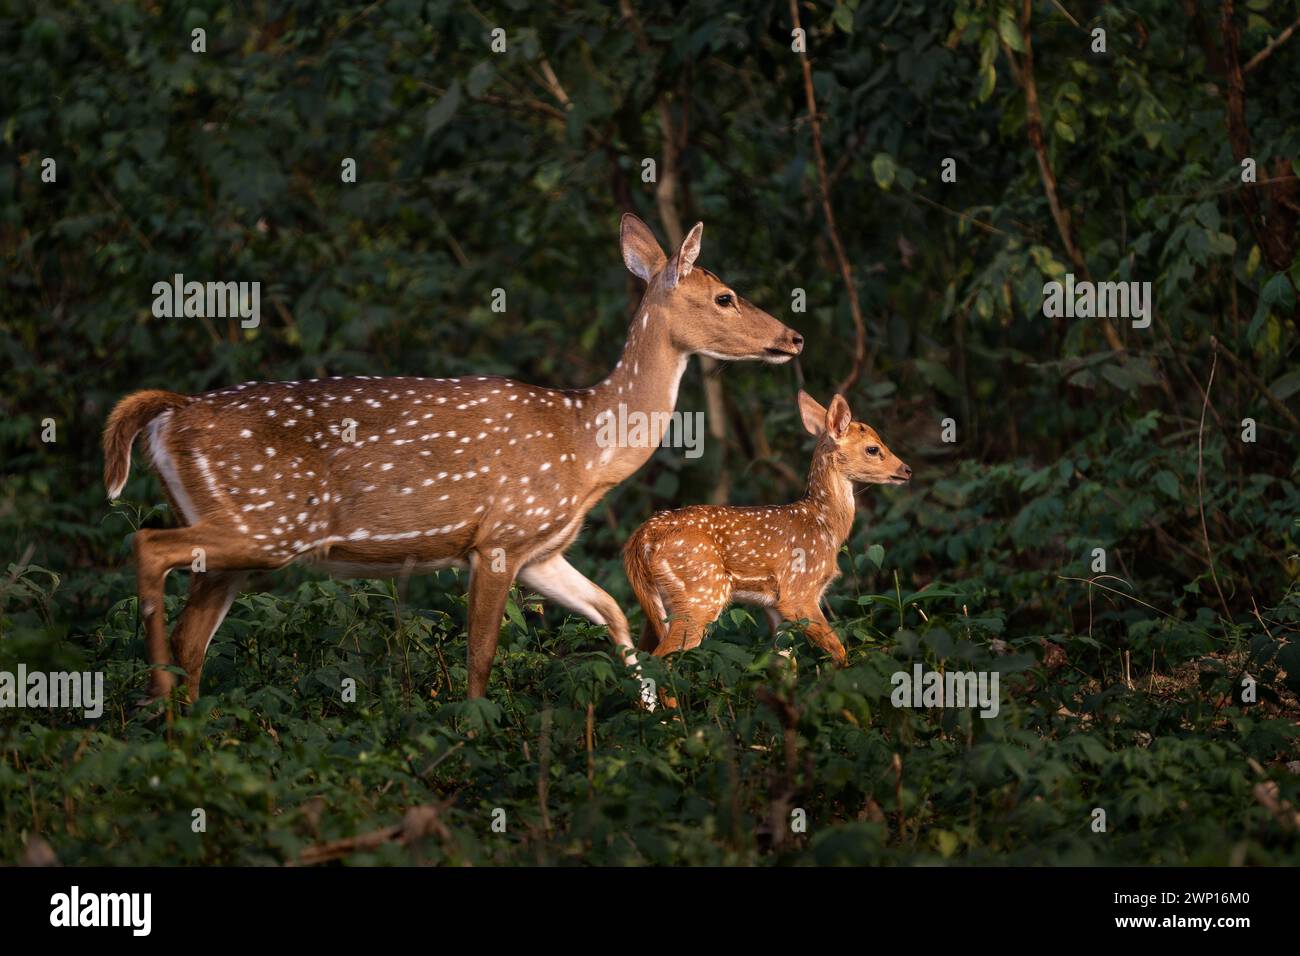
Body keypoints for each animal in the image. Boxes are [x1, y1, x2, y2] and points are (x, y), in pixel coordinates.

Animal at [102, 213, 804, 706]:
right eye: (725, 297)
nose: (793, 337)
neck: (586, 446)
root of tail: (169, 414)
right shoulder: (496, 538)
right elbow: (481, 657)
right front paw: (472, 733)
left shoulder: (539, 550)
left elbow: (614, 614)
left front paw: (657, 715)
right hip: (266, 523)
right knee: (147, 548)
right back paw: (158, 701)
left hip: (238, 542)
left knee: (193, 637)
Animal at [623, 390, 910, 690]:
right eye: (873, 449)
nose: (907, 470)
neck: (824, 525)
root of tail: (642, 536)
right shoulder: (799, 593)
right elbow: (839, 651)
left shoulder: (773, 605)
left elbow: (786, 665)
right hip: (701, 595)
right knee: (660, 659)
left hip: (660, 603)